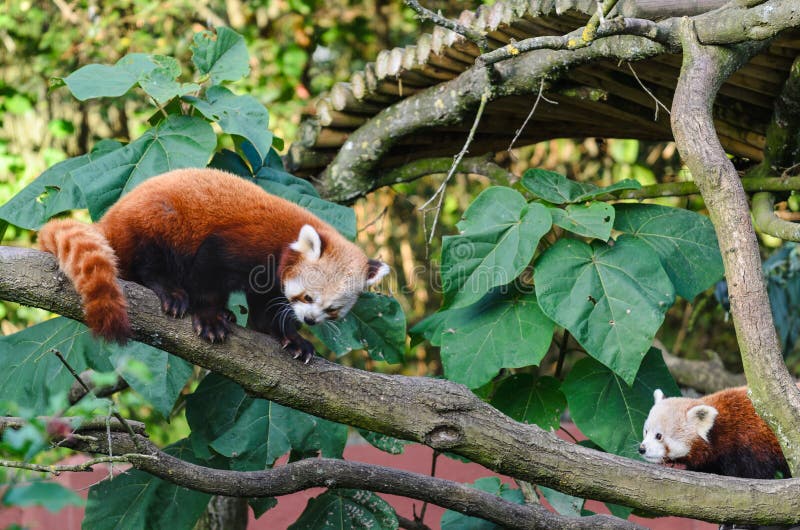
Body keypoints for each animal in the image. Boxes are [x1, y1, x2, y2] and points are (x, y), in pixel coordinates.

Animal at [39, 167, 390, 360]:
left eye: (332, 309)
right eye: (308, 297)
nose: (311, 320)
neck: (286, 241)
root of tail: (110, 220)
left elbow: (266, 310)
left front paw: (291, 337)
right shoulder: (240, 243)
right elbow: (208, 276)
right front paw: (209, 318)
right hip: (155, 222)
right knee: (148, 262)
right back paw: (171, 291)